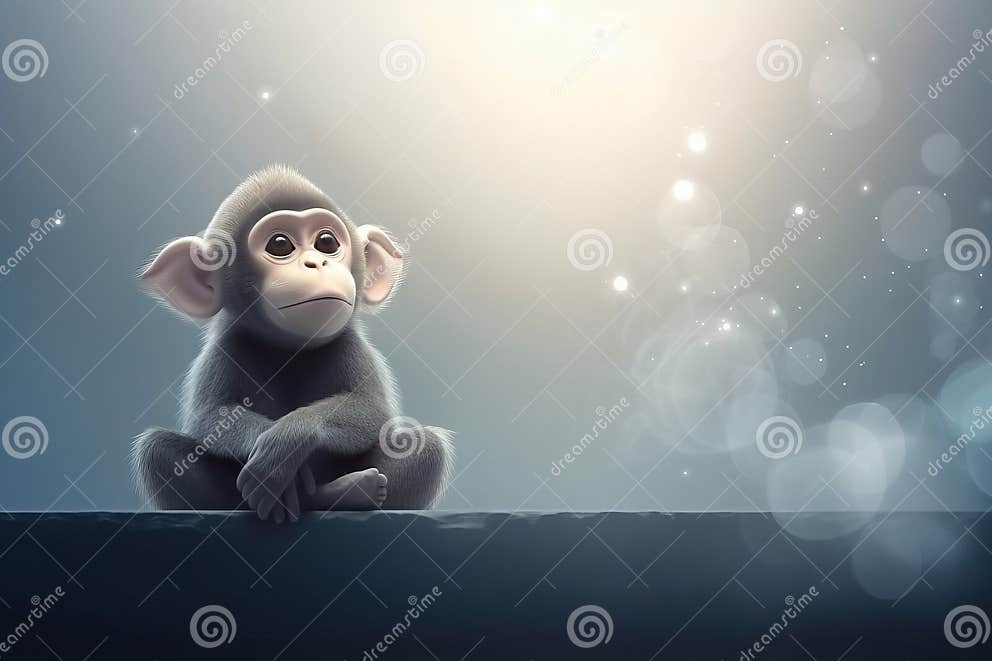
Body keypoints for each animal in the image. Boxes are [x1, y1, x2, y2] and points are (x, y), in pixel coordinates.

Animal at [131, 165, 453, 522]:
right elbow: (210, 417)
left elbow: (370, 409)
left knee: (425, 447)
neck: (290, 347)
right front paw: (281, 465)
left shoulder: (350, 344)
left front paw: (289, 440)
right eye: (280, 245)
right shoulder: (225, 347)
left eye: (326, 242)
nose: (318, 263)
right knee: (158, 450)